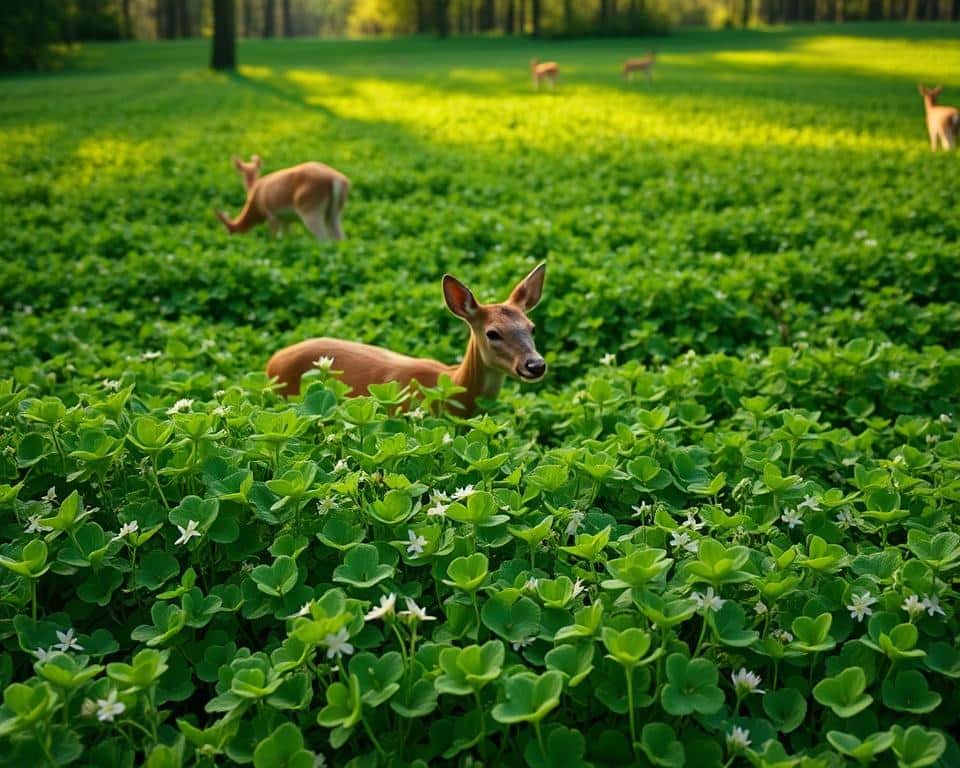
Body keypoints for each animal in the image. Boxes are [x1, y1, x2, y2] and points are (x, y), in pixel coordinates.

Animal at [215, 155, 350, 241]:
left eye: (229, 231)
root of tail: (338, 180)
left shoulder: (271, 215)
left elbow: (273, 239)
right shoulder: (286, 220)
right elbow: (287, 238)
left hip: (310, 209)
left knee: (325, 241)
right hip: (335, 213)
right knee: (340, 239)